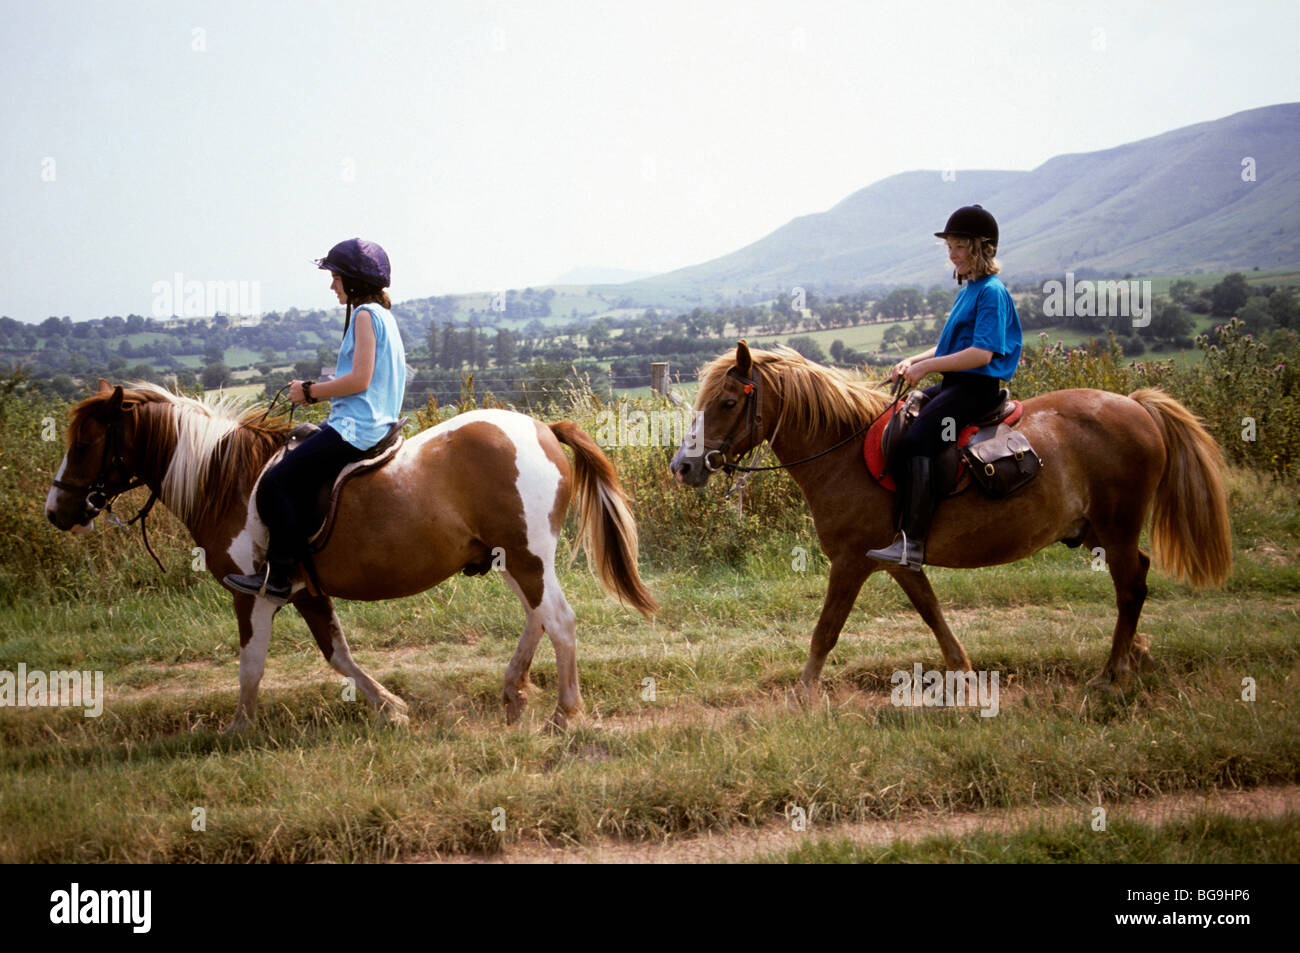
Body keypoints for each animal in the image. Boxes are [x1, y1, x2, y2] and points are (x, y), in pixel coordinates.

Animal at [45, 380, 657, 730]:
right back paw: (514, 693)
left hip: (529, 556)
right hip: (513, 557)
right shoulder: (303, 591)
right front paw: (391, 708)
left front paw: (239, 730)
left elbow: (251, 664)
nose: (56, 510)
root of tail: (541, 428)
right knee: (537, 617)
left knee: (559, 620)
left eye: (84, 443)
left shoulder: (256, 592)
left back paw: (565, 713)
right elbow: (337, 655)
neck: (230, 481)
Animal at [669, 342, 1232, 698]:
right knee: (1138, 574)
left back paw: (1112, 673)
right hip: (1097, 529)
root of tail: (1137, 407)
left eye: (726, 402)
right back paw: (1137, 654)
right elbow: (931, 612)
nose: (684, 466)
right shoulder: (897, 558)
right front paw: (963, 672)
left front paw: (803, 695)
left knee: (1129, 587)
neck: (844, 450)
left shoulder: (851, 561)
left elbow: (826, 630)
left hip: (1116, 526)